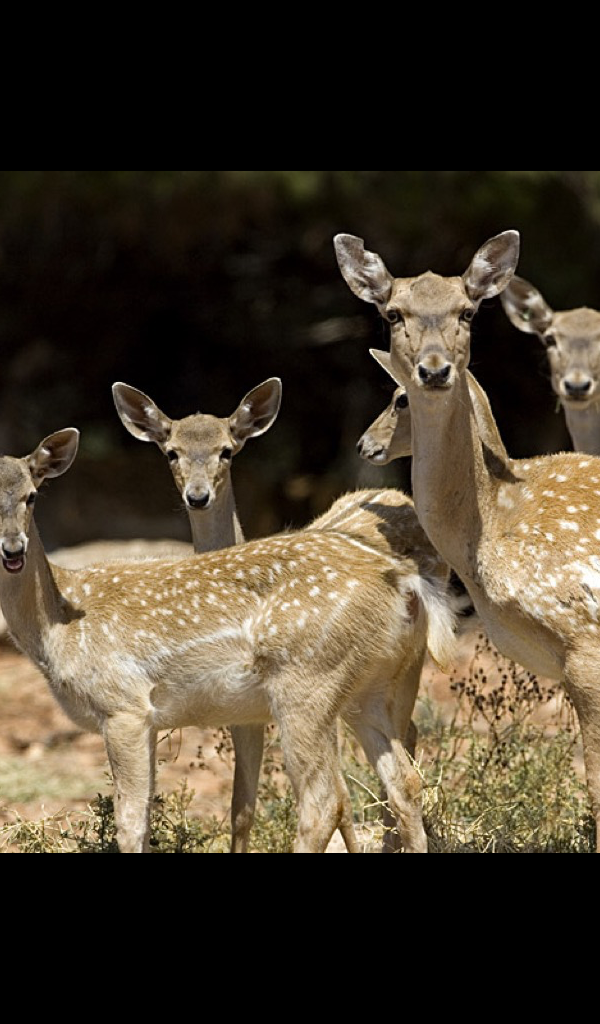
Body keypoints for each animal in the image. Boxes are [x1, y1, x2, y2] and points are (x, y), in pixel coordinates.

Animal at [0, 427, 456, 853]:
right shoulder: (145, 719)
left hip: (308, 683)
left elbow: (129, 824)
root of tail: (403, 579)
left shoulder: (123, 705)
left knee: (324, 800)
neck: (59, 626)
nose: (12, 549)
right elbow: (144, 817)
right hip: (366, 690)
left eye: (32, 496)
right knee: (405, 782)